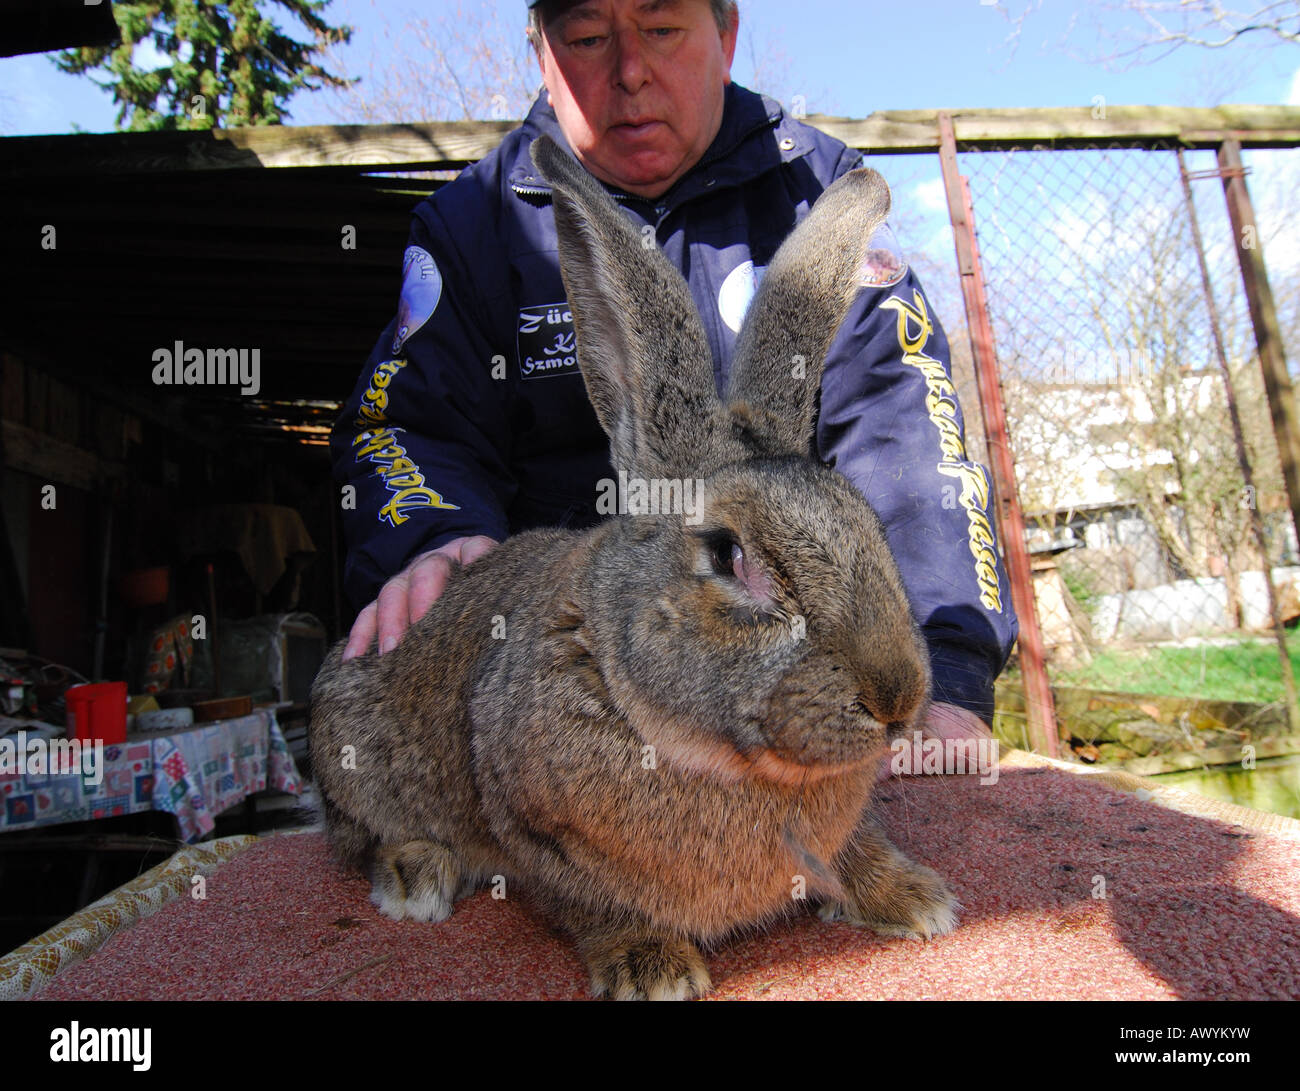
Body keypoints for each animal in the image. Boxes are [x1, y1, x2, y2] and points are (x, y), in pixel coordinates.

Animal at [309, 133, 959, 1000]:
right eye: (728, 554)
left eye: (865, 520)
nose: (896, 699)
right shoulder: (531, 833)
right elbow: (587, 901)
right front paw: (653, 966)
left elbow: (854, 848)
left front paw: (914, 898)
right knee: (358, 836)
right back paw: (415, 874)